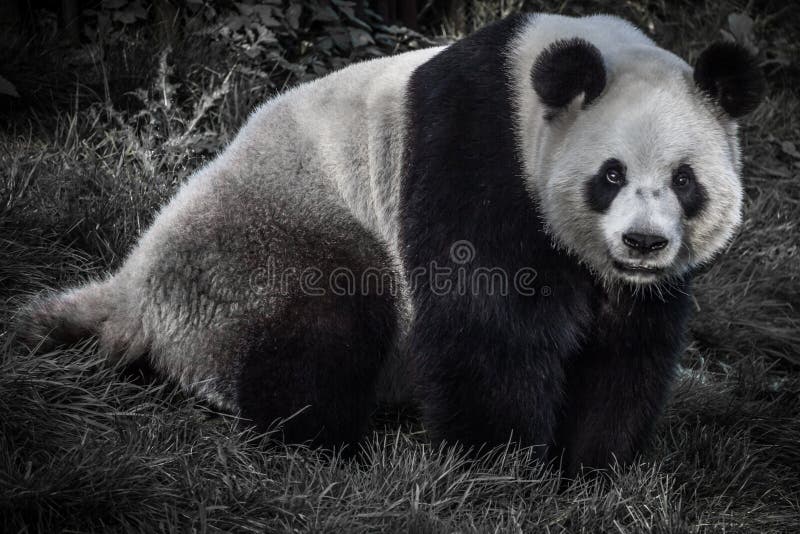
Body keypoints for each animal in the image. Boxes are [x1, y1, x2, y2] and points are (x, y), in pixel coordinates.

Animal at [16, 13, 764, 473]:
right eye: (610, 175)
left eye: (685, 181)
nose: (643, 242)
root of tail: (133, 289)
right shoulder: (477, 146)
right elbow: (488, 316)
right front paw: (502, 464)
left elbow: (628, 345)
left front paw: (592, 468)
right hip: (267, 239)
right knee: (328, 318)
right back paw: (327, 442)